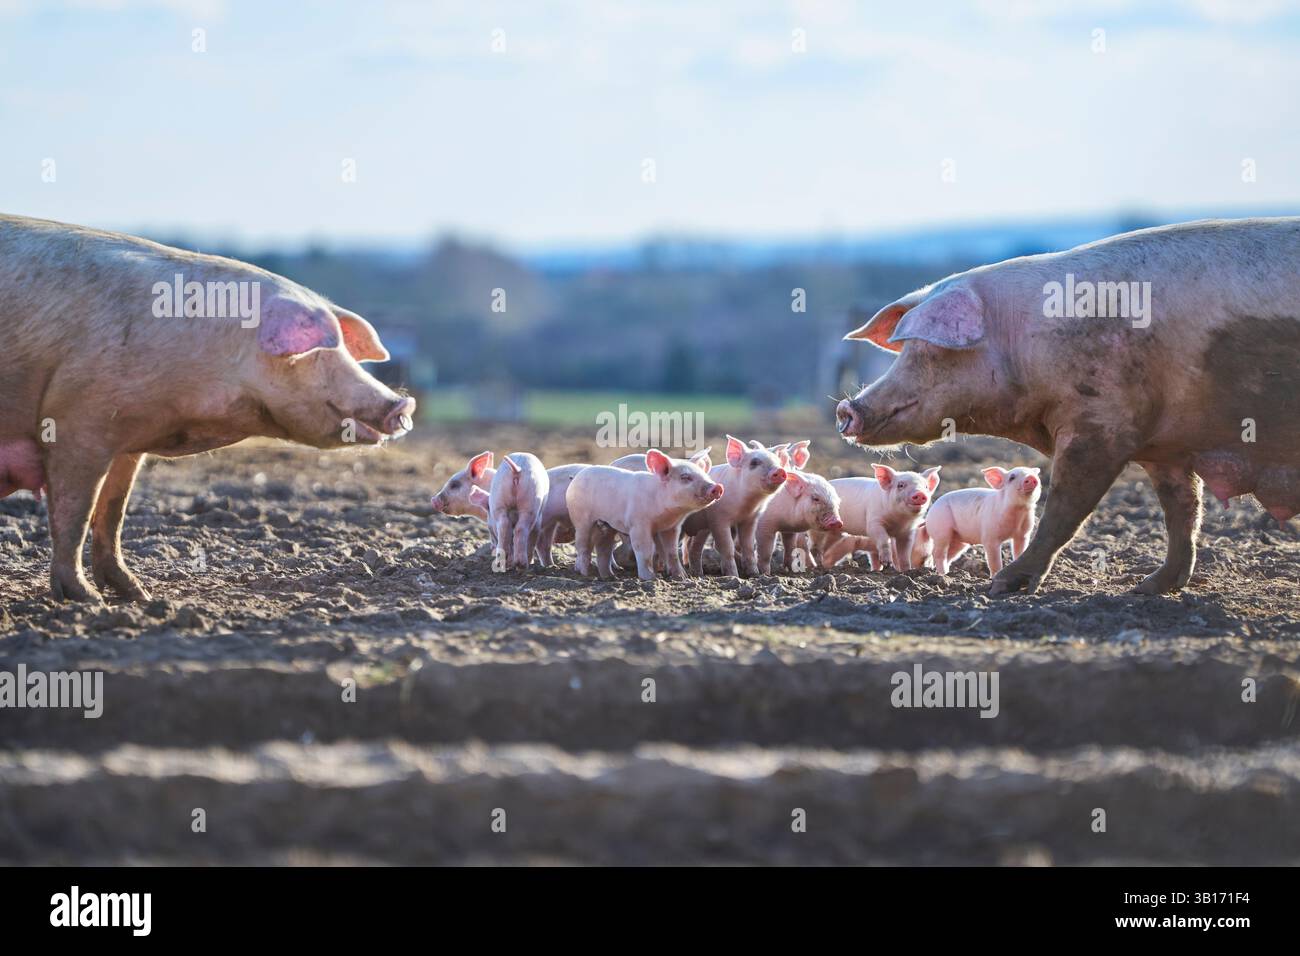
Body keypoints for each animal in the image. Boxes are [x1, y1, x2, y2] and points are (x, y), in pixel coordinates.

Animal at [0, 214, 414, 602]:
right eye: (315, 353)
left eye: (343, 349)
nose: (402, 403)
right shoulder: (77, 424)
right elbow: (75, 513)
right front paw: (88, 599)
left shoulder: (129, 440)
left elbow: (113, 511)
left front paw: (139, 594)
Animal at [566, 449, 723, 581]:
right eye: (685, 477)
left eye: (705, 475)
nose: (717, 487)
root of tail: (576, 478)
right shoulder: (638, 524)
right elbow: (645, 548)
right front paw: (650, 578)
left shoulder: (672, 527)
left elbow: (672, 551)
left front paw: (682, 577)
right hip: (580, 519)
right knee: (582, 546)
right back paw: (584, 574)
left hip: (606, 526)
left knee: (604, 549)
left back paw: (611, 575)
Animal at [681, 436, 788, 577]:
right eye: (754, 462)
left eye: (778, 462)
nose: (780, 470)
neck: (747, 505)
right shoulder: (719, 519)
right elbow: (727, 548)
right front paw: (733, 576)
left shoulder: (750, 520)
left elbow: (748, 547)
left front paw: (754, 574)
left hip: (701, 528)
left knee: (693, 547)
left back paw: (698, 574)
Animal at [812, 465, 941, 570]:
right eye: (901, 485)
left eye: (926, 487)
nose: (920, 494)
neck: (898, 521)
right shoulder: (873, 522)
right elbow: (883, 539)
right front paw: (887, 564)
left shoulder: (907, 532)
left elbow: (904, 553)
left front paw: (906, 570)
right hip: (818, 527)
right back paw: (819, 564)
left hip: (836, 532)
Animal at [835, 218, 1300, 595]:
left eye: (929, 350)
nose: (847, 409)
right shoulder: (1165, 447)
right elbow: (1182, 510)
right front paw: (1148, 589)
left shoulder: (1100, 424)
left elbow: (1065, 507)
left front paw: (1002, 586)